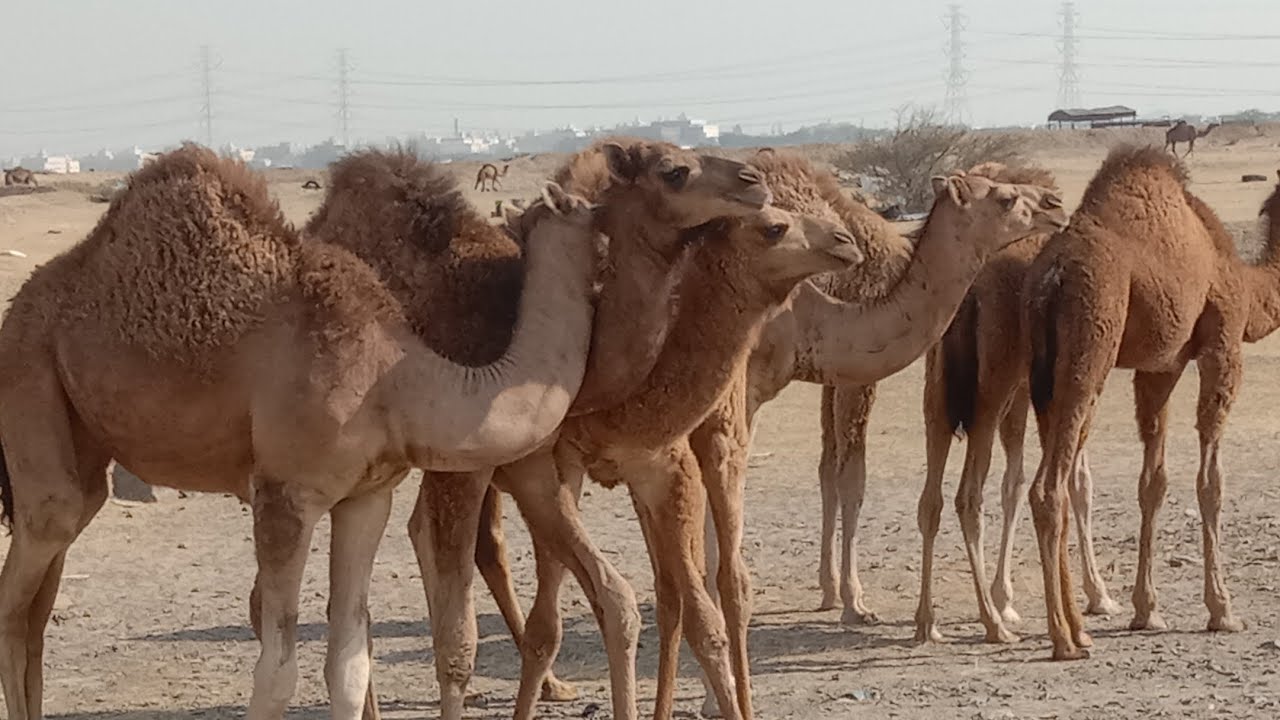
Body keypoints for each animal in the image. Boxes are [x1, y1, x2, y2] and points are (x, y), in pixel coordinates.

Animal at [0, 142, 618, 720]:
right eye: (604, 227)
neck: (396, 379)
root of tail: (23, 304)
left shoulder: (366, 496)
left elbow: (347, 664)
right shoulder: (285, 497)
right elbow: (276, 672)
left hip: (78, 441)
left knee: (45, 583)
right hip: (28, 368)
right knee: (28, 570)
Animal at [911, 161, 1120, 646]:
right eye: (1006, 199)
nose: (1054, 205)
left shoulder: (1028, 395)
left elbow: (1018, 482)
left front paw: (1005, 596)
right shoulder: (1058, 390)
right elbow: (1075, 482)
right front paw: (1098, 595)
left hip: (939, 395)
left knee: (931, 499)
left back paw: (927, 621)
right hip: (993, 387)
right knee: (969, 495)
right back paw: (993, 623)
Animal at [1021, 145, 1280, 661]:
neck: (1248, 283)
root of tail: (1050, 280)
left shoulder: (1161, 368)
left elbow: (1152, 483)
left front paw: (1147, 611)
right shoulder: (1222, 344)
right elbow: (1211, 482)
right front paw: (1223, 611)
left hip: (1044, 374)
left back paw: (1081, 628)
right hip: (1091, 346)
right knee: (1048, 488)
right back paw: (1065, 640)